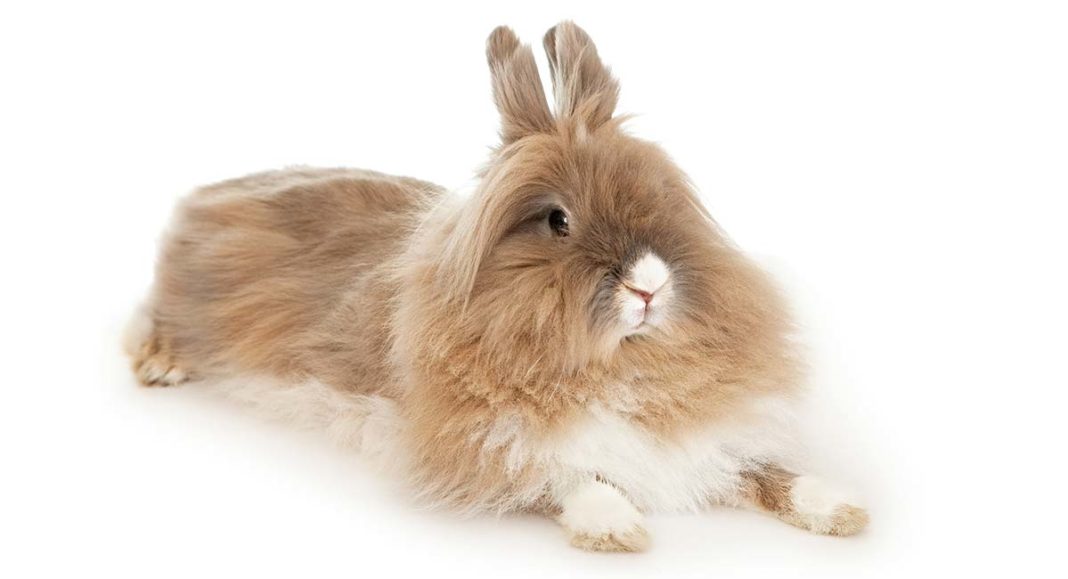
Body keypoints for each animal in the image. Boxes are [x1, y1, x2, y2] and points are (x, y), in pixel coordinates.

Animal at [125, 21, 869, 552]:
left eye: (657, 199)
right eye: (557, 220)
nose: (650, 286)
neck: (614, 366)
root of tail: (211, 192)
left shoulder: (711, 443)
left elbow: (768, 472)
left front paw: (843, 509)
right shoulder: (473, 443)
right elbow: (560, 473)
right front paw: (615, 525)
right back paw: (159, 365)